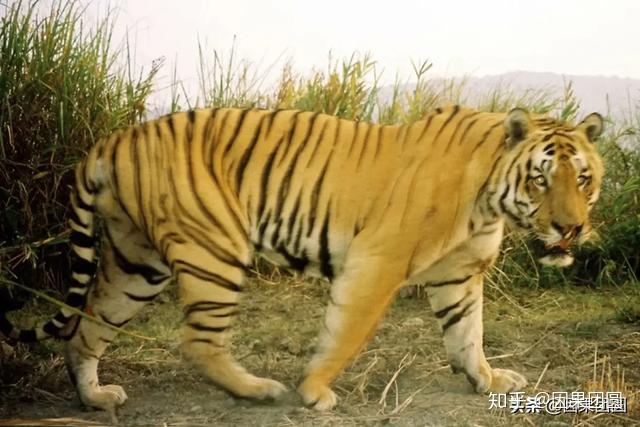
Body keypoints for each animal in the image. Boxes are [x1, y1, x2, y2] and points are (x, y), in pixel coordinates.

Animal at [1, 105, 604, 419]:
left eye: (583, 178)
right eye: (541, 178)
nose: (570, 228)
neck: (487, 199)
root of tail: (112, 141)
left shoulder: (460, 274)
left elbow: (468, 333)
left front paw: (487, 379)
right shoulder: (376, 263)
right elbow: (346, 334)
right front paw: (315, 391)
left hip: (135, 262)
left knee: (88, 325)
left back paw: (94, 397)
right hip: (214, 249)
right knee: (196, 340)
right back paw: (258, 390)